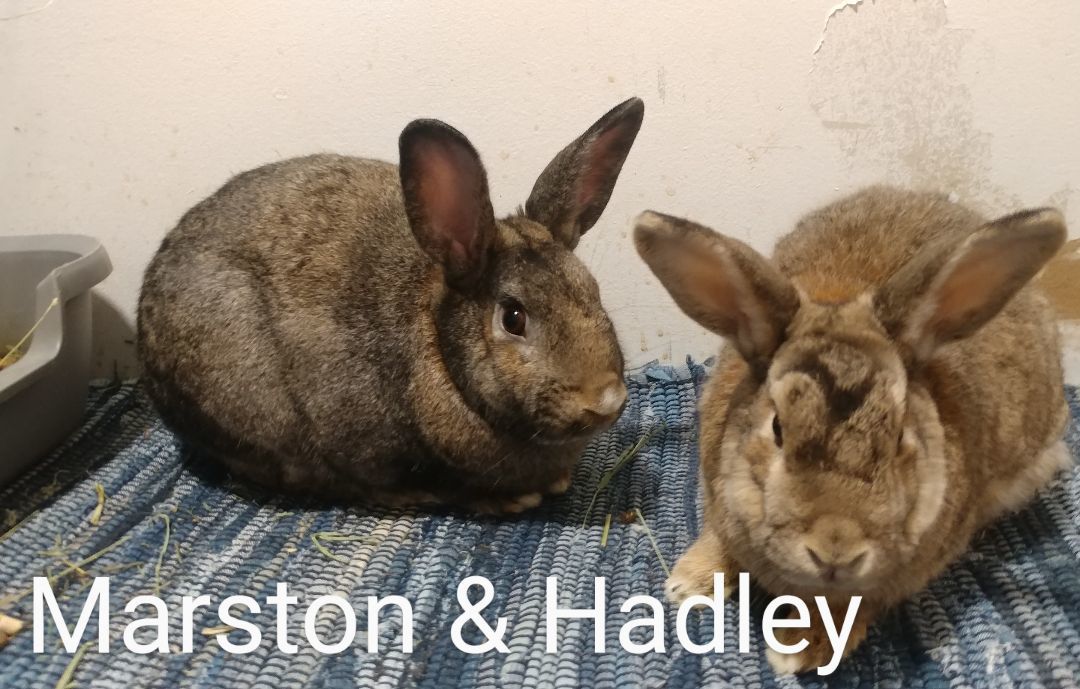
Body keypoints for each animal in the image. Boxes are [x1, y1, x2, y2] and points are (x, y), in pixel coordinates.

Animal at [634, 186, 1070, 674]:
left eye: (899, 436)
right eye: (778, 428)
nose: (835, 549)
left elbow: (852, 605)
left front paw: (803, 646)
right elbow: (718, 536)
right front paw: (688, 582)